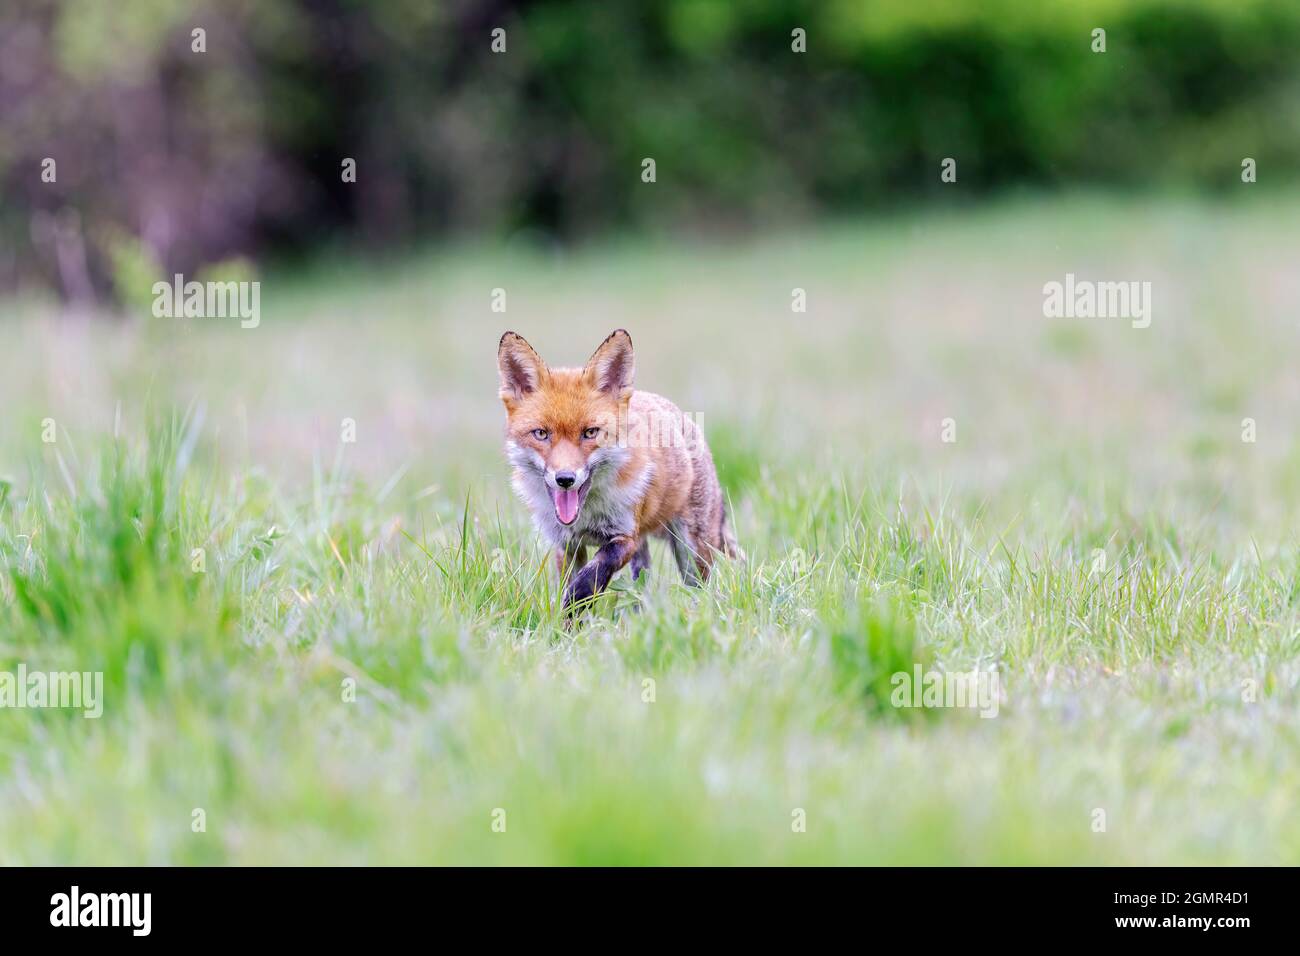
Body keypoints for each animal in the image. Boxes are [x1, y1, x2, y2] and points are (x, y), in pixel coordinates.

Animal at [497, 328, 742, 613]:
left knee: (699, 590)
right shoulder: (566, 545)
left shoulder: (625, 535)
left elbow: (598, 568)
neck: (587, 516)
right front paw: (569, 618)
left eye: (590, 433)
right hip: (646, 552)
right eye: (541, 434)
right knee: (641, 587)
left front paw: (579, 595)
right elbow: (573, 584)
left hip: (691, 550)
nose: (565, 479)